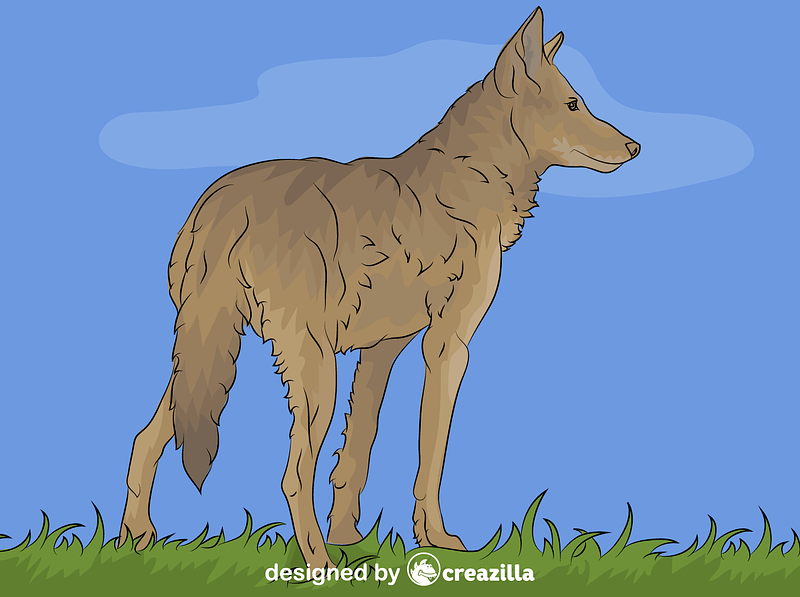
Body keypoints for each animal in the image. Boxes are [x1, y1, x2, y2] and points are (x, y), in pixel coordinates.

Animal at [119, 7, 639, 569]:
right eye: (573, 104)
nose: (635, 146)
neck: (473, 178)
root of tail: (224, 201)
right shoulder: (447, 346)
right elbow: (430, 455)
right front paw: (435, 539)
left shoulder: (382, 351)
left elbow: (358, 452)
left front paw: (351, 537)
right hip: (312, 370)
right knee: (291, 474)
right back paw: (319, 566)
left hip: (204, 358)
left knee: (144, 438)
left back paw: (135, 542)